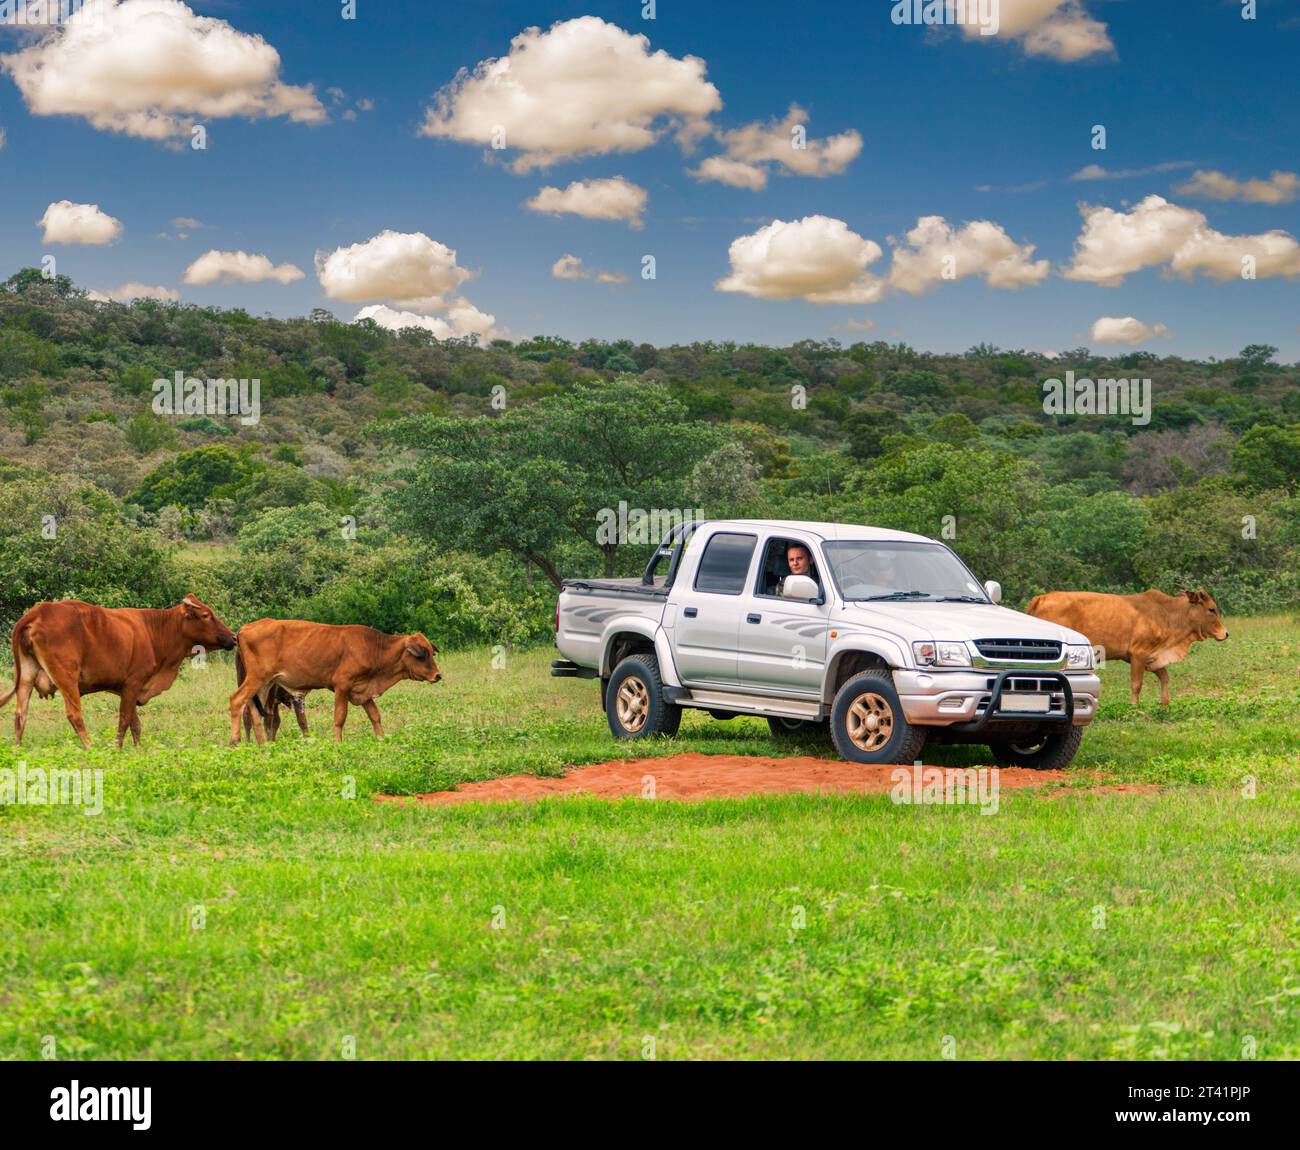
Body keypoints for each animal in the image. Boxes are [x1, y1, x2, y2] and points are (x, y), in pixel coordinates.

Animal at [0, 595, 236, 748]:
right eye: (205, 615)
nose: (233, 637)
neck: (155, 632)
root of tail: (38, 612)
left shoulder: (128, 688)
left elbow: (135, 723)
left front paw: (138, 750)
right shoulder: (133, 683)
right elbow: (124, 719)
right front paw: (118, 749)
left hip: (27, 675)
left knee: (20, 714)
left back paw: (17, 748)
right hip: (66, 677)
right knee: (74, 715)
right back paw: (90, 747)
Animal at [229, 619, 441, 745]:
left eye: (431, 651)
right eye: (422, 654)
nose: (438, 676)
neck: (374, 648)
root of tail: (243, 629)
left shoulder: (362, 690)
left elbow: (375, 716)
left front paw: (381, 739)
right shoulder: (342, 686)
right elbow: (340, 717)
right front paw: (337, 743)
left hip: (264, 684)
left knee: (254, 711)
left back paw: (263, 744)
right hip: (257, 678)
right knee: (237, 701)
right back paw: (235, 741)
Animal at [1026, 589, 1228, 705]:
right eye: (1211, 609)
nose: (1225, 633)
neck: (1166, 614)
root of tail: (1042, 597)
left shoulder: (1151, 658)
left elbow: (1165, 677)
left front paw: (1164, 704)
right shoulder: (1139, 654)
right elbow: (1136, 684)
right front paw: (1134, 708)